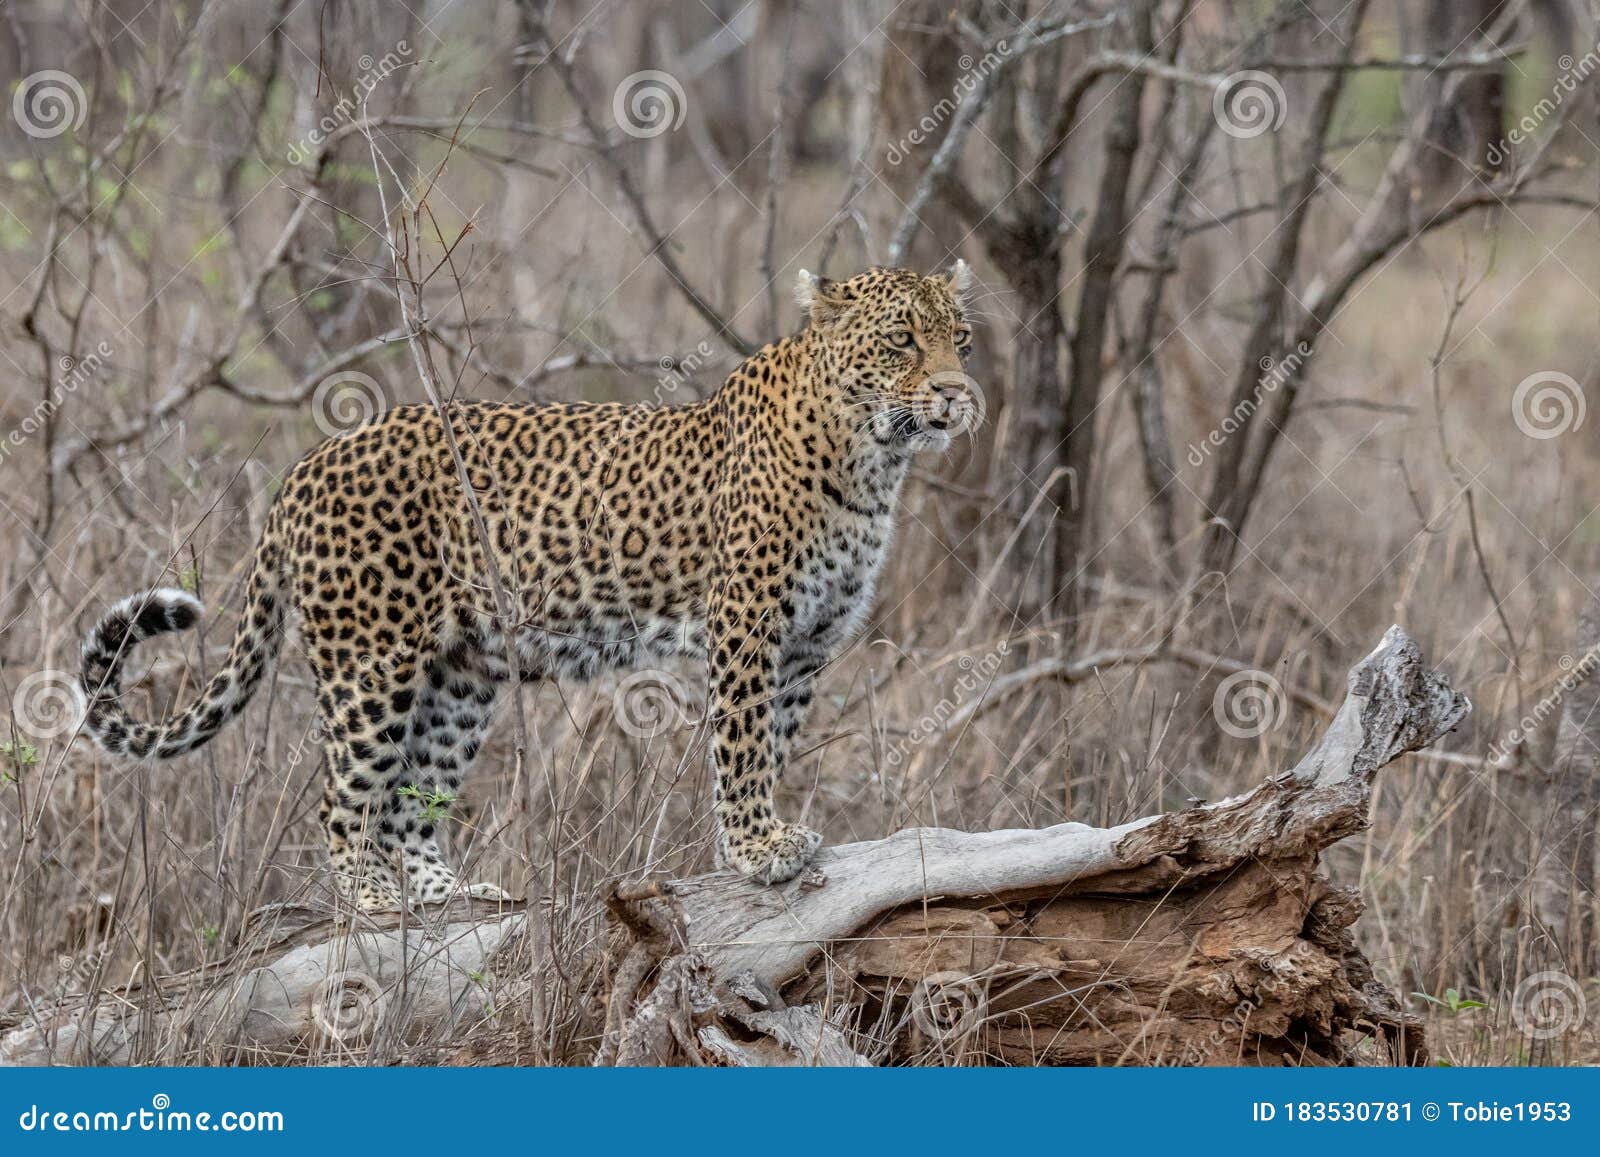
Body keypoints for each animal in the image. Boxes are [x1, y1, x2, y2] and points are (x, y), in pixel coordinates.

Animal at [78, 262, 979, 911]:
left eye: (962, 339)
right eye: (902, 340)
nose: (957, 393)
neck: (872, 459)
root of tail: (304, 466)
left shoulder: (807, 642)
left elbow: (774, 742)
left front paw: (751, 845)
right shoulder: (748, 624)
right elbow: (744, 742)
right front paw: (760, 849)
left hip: (459, 676)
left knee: (412, 798)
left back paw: (450, 894)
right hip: (370, 665)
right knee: (344, 795)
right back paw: (372, 898)